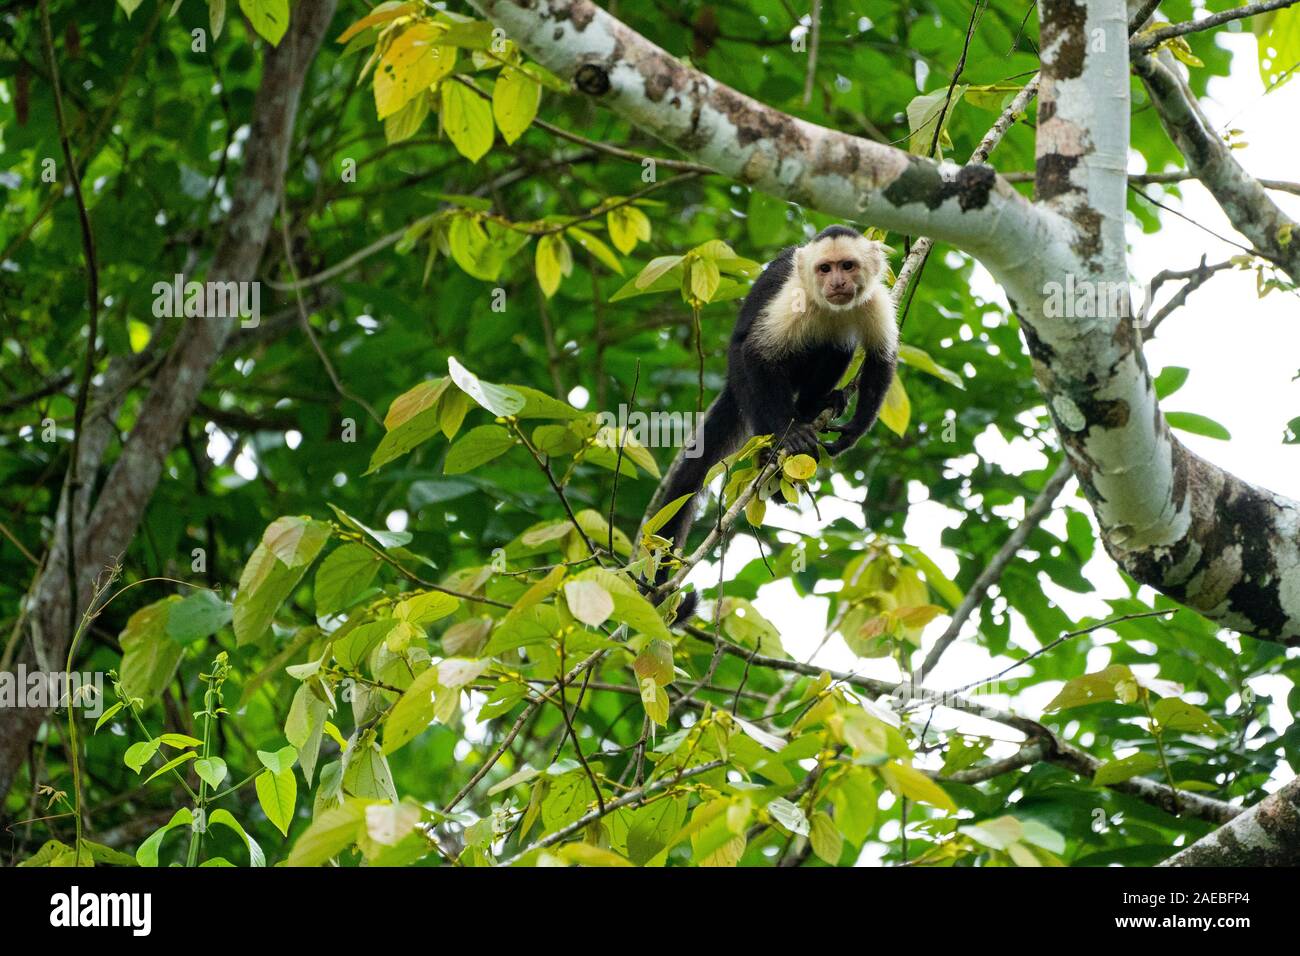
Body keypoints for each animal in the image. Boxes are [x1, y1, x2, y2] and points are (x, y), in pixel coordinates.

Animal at [640, 224, 898, 622]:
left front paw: (854, 431)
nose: (837, 282)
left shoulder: (874, 302)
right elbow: (757, 354)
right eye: (825, 269)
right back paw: (776, 449)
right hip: (739, 379)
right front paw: (786, 437)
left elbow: (881, 361)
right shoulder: (794, 297)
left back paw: (815, 405)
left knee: (837, 343)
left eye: (848, 266)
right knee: (753, 366)